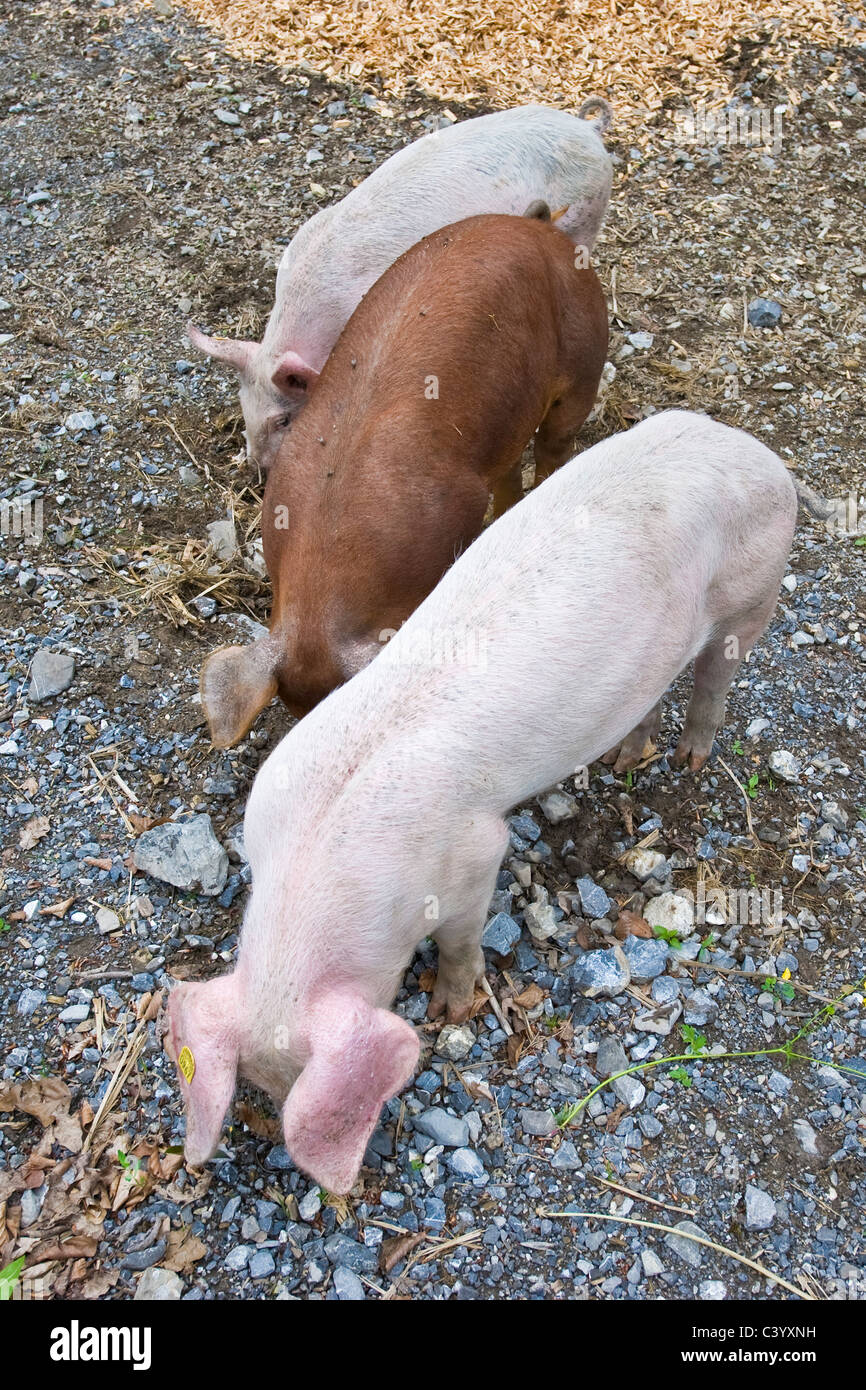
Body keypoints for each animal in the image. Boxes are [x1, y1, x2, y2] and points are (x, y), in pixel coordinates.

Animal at [167, 410, 798, 1193]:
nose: (269, 1114)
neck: (318, 862)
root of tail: (755, 451)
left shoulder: (473, 854)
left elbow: (464, 937)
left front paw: (450, 1009)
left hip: (754, 592)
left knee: (716, 678)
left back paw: (688, 760)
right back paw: (625, 760)